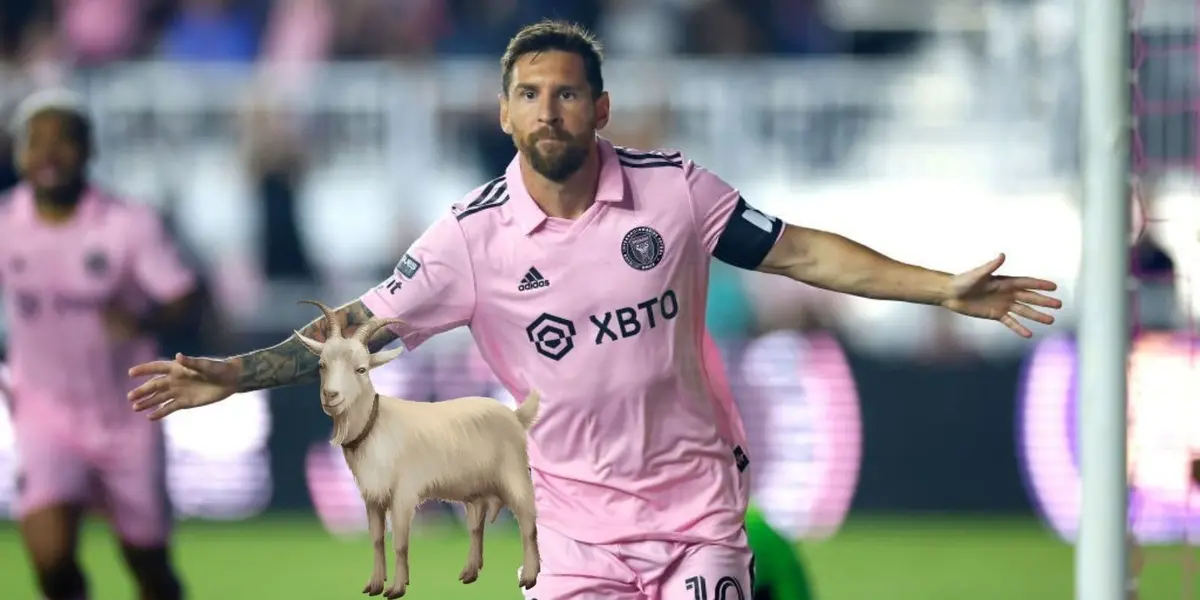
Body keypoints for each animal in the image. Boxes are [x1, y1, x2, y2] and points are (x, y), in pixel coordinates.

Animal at [294, 300, 541, 598]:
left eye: (361, 369)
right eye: (321, 365)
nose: (331, 396)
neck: (377, 425)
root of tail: (516, 415)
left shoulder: (404, 493)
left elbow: (400, 543)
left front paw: (396, 588)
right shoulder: (372, 497)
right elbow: (376, 540)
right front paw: (374, 585)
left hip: (514, 474)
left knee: (528, 522)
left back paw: (529, 576)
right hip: (475, 490)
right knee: (475, 525)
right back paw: (470, 573)